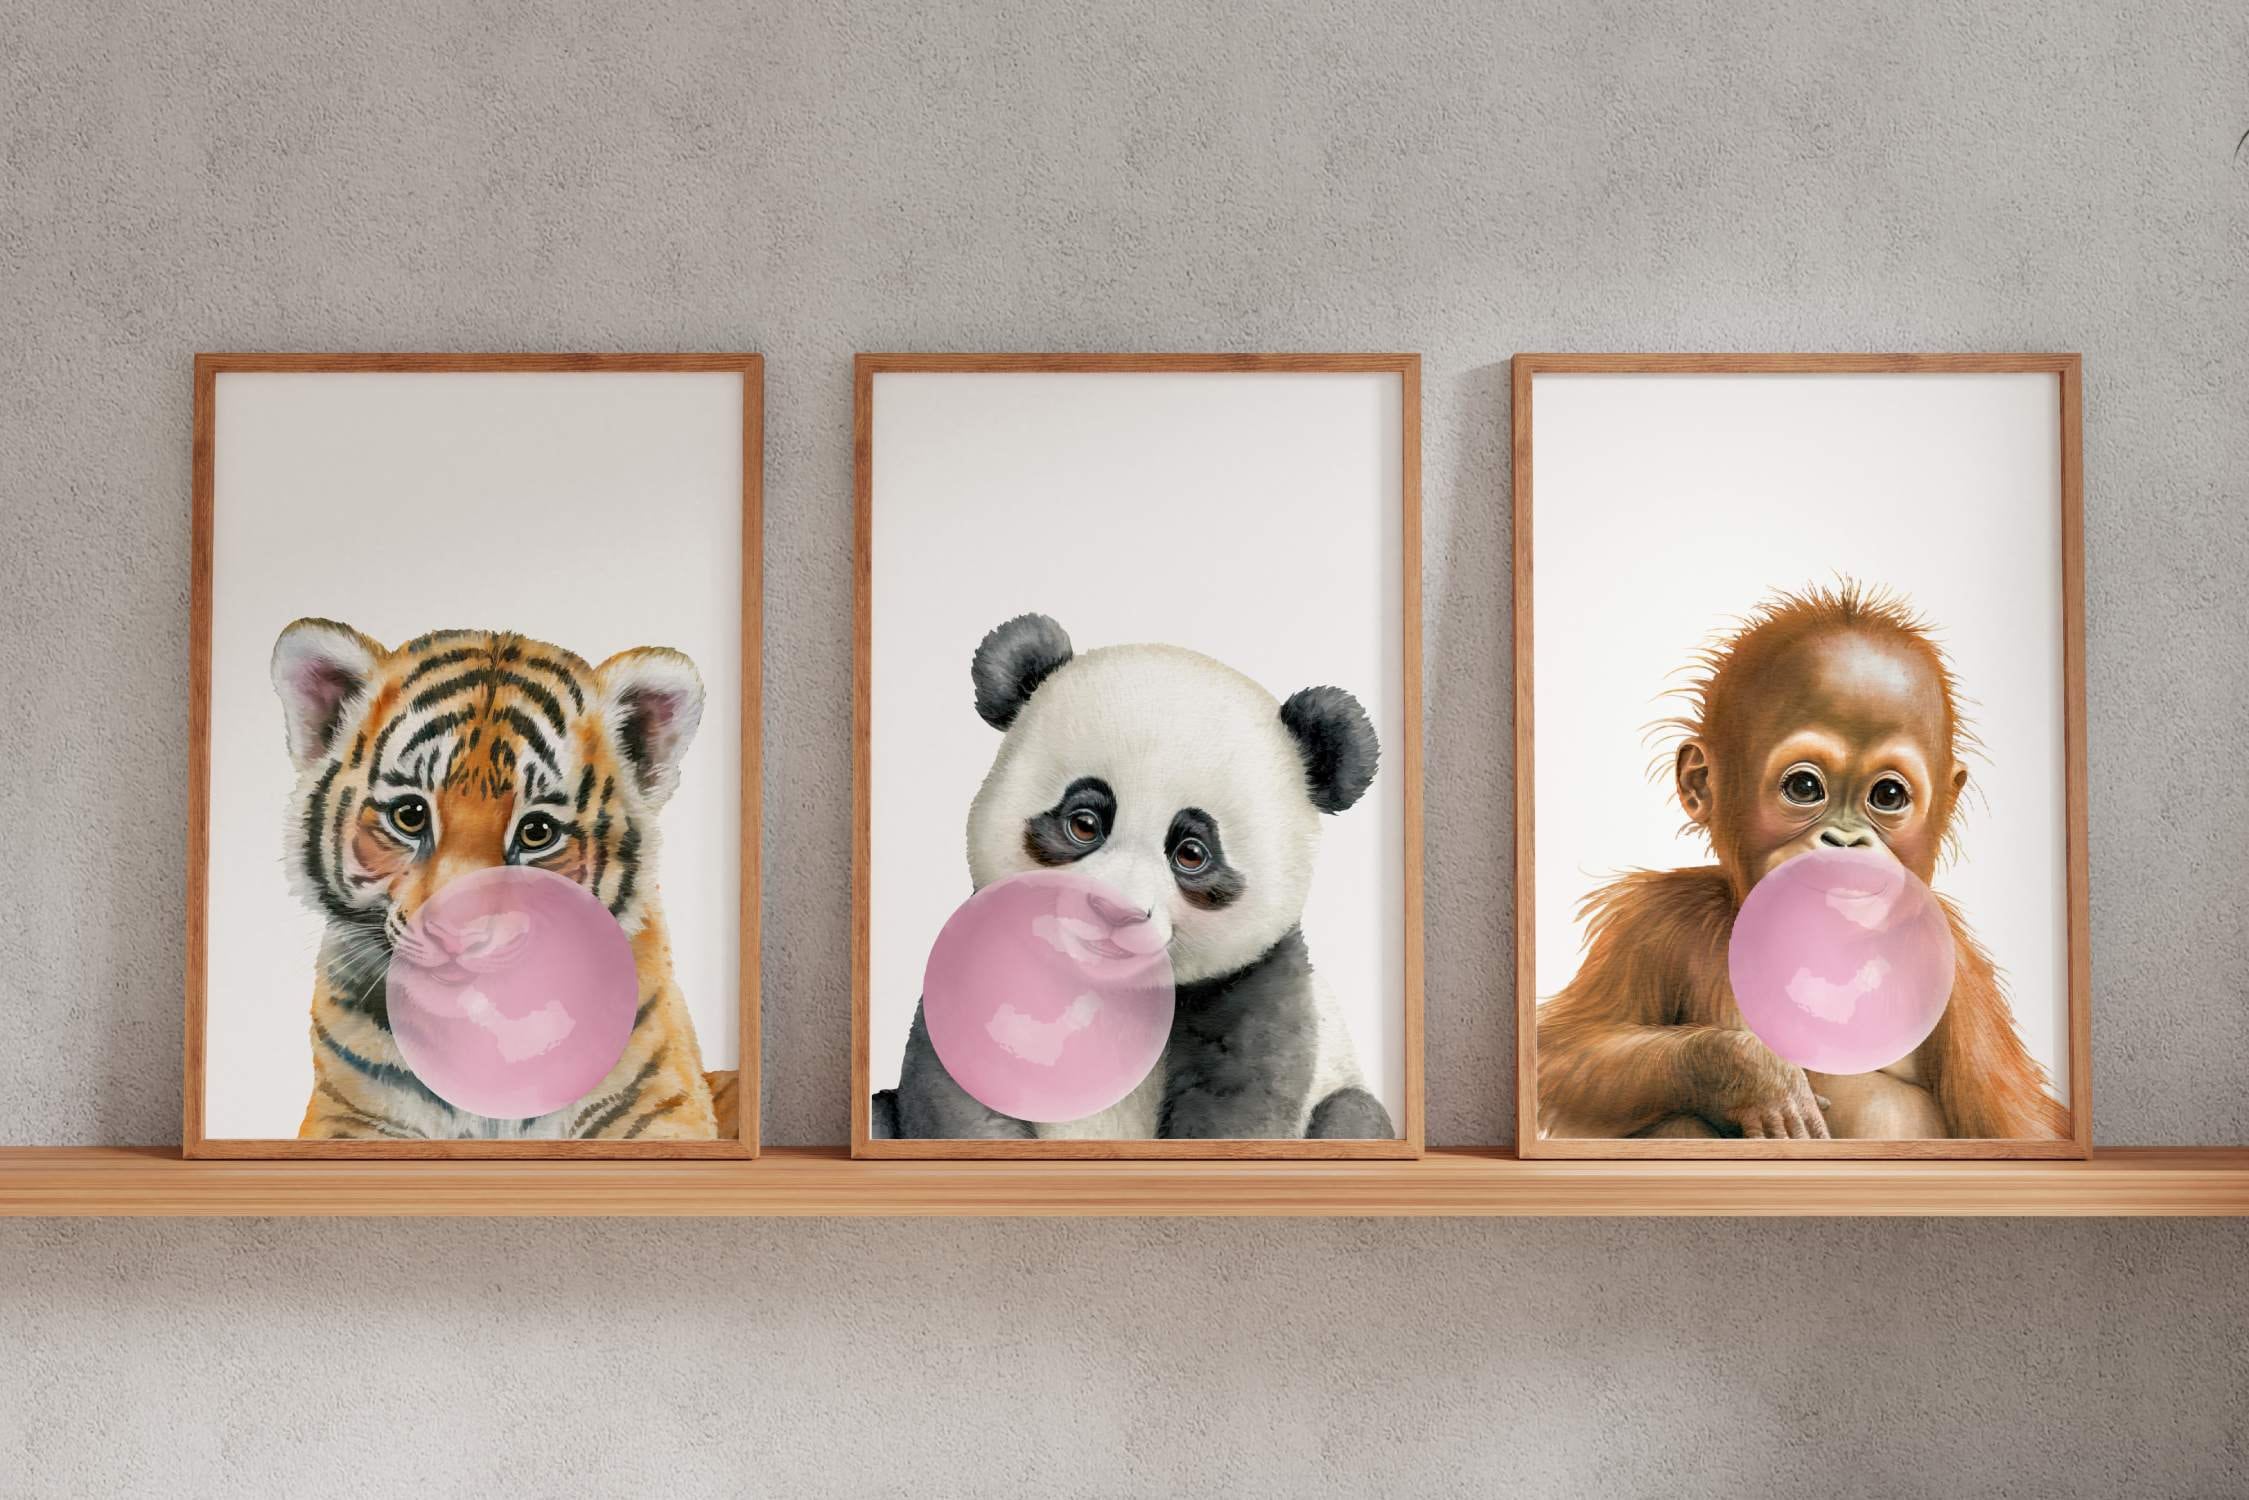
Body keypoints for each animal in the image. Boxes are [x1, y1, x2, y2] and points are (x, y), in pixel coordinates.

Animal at [1535, 582, 2068, 1142]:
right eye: (1805, 787)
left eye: (1888, 795)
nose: (1844, 839)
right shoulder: (1651, 921)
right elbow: (1562, 1050)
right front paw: (1755, 1074)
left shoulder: (1960, 972)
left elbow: (2018, 1122)